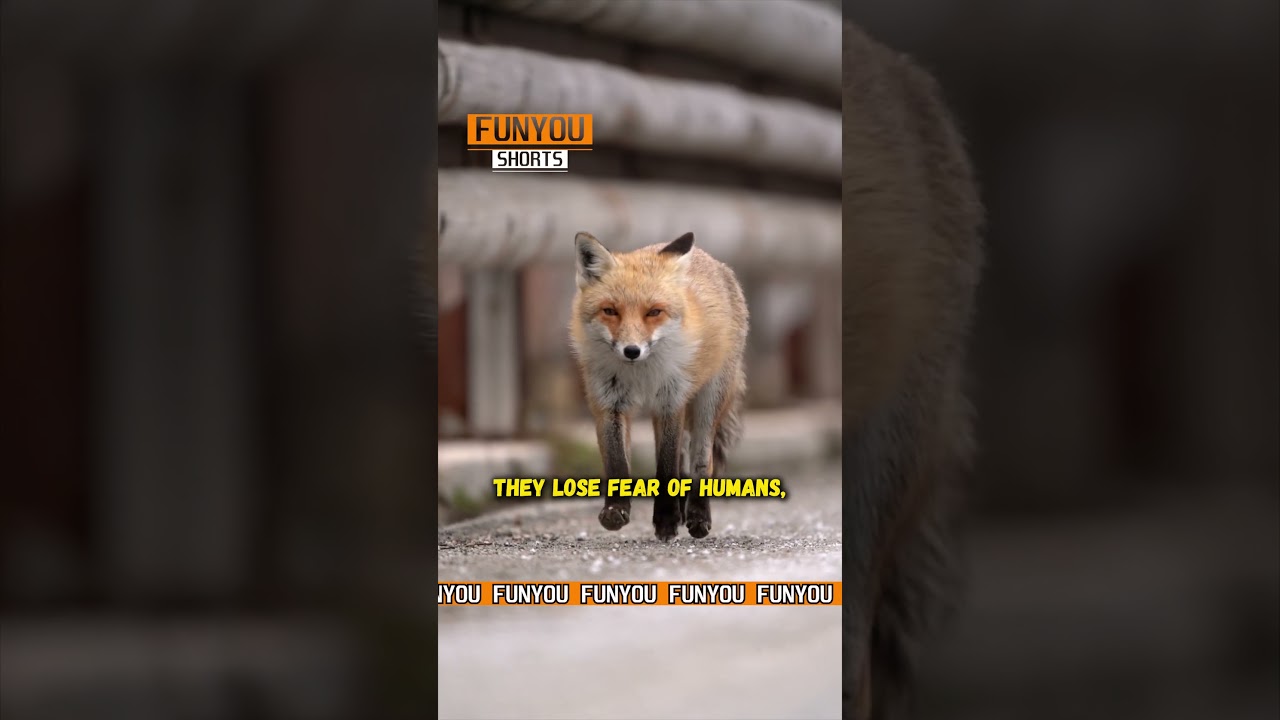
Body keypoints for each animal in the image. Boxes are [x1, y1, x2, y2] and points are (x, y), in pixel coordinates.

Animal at [568, 230, 749, 542]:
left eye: (653, 312)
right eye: (610, 311)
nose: (631, 350)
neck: (640, 374)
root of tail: (713, 261)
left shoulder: (671, 401)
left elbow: (666, 468)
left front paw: (666, 520)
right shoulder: (608, 403)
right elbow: (617, 463)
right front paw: (615, 512)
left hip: (708, 402)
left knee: (701, 460)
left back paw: (698, 517)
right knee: (683, 458)